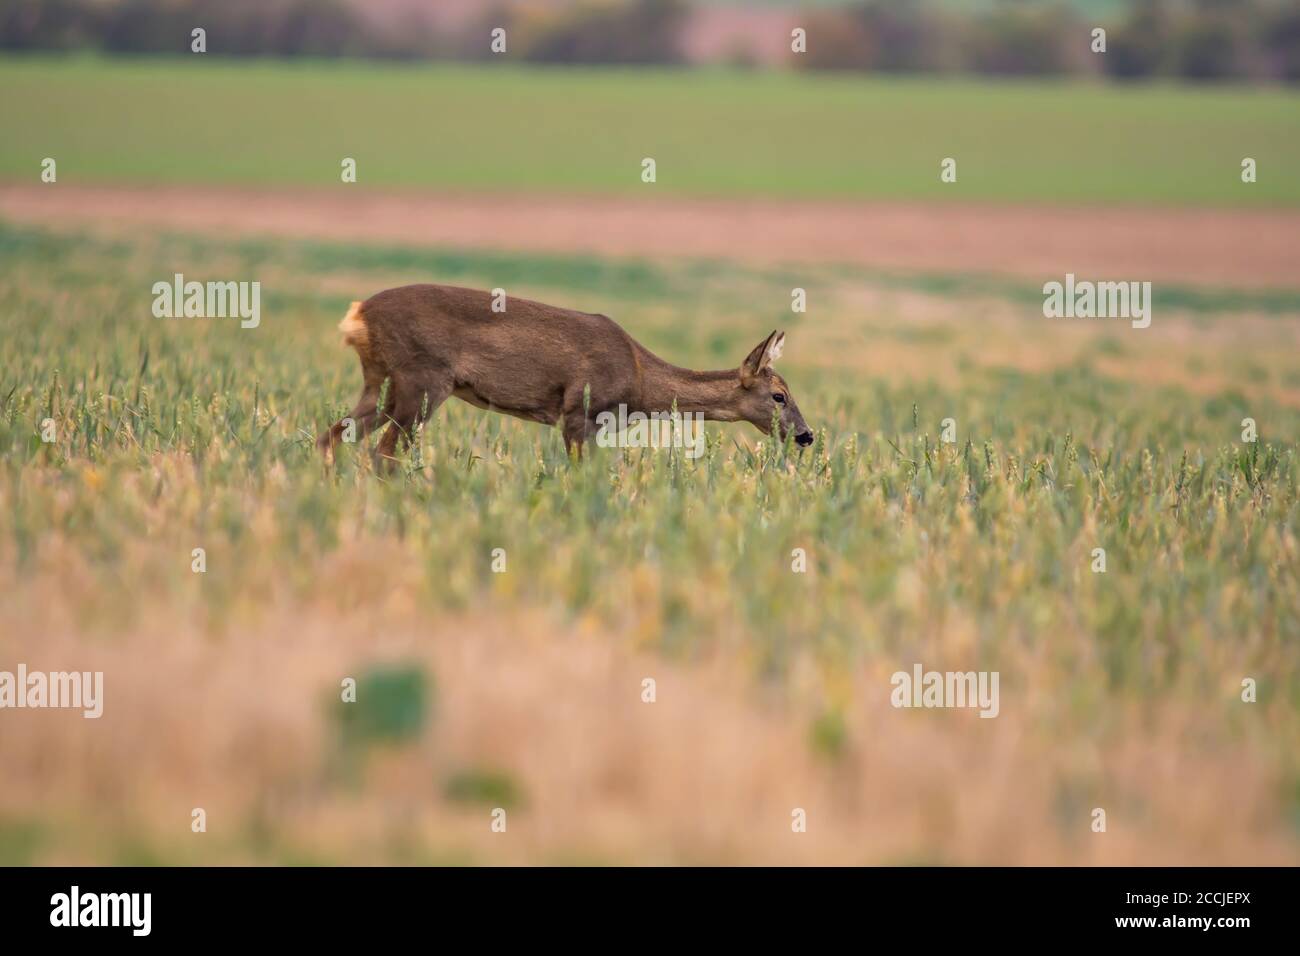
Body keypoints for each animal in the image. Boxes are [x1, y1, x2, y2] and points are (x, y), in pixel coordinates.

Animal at [316, 284, 814, 467]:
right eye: (779, 395)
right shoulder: (579, 410)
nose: (807, 435)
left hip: (379, 382)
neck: (640, 377)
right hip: (421, 381)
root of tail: (357, 315)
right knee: (383, 452)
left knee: (331, 437)